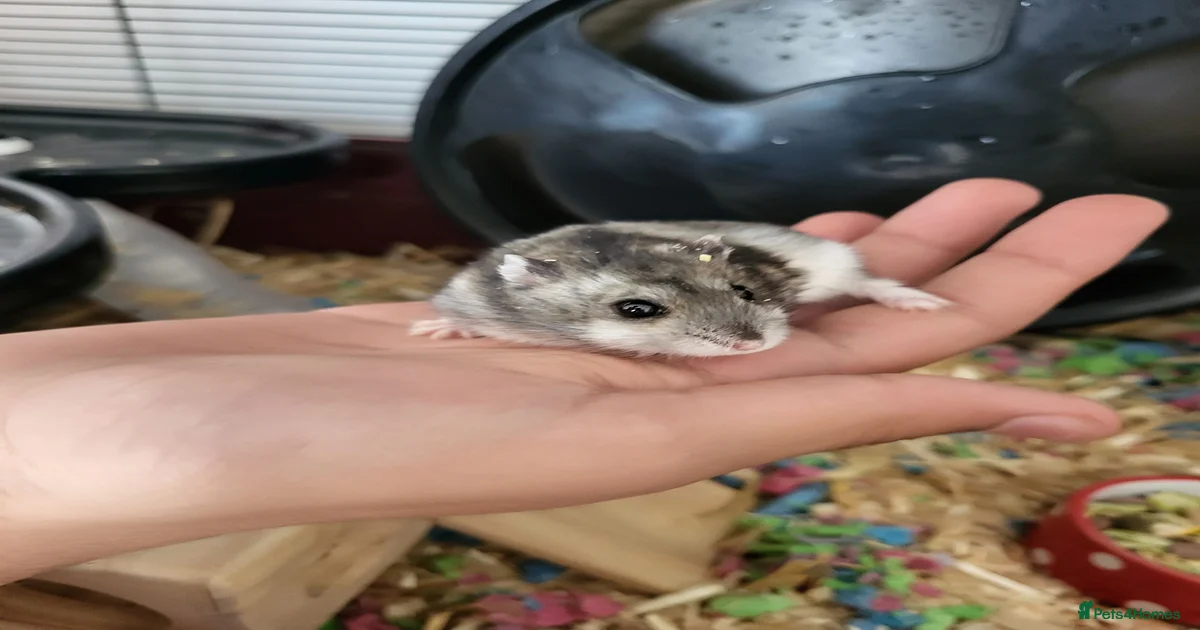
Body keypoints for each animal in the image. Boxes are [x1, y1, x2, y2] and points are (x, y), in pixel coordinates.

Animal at [409, 220, 952, 358]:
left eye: (745, 291)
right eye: (636, 310)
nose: (754, 345)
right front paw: (432, 331)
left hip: (830, 263)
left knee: (869, 280)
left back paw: (924, 304)